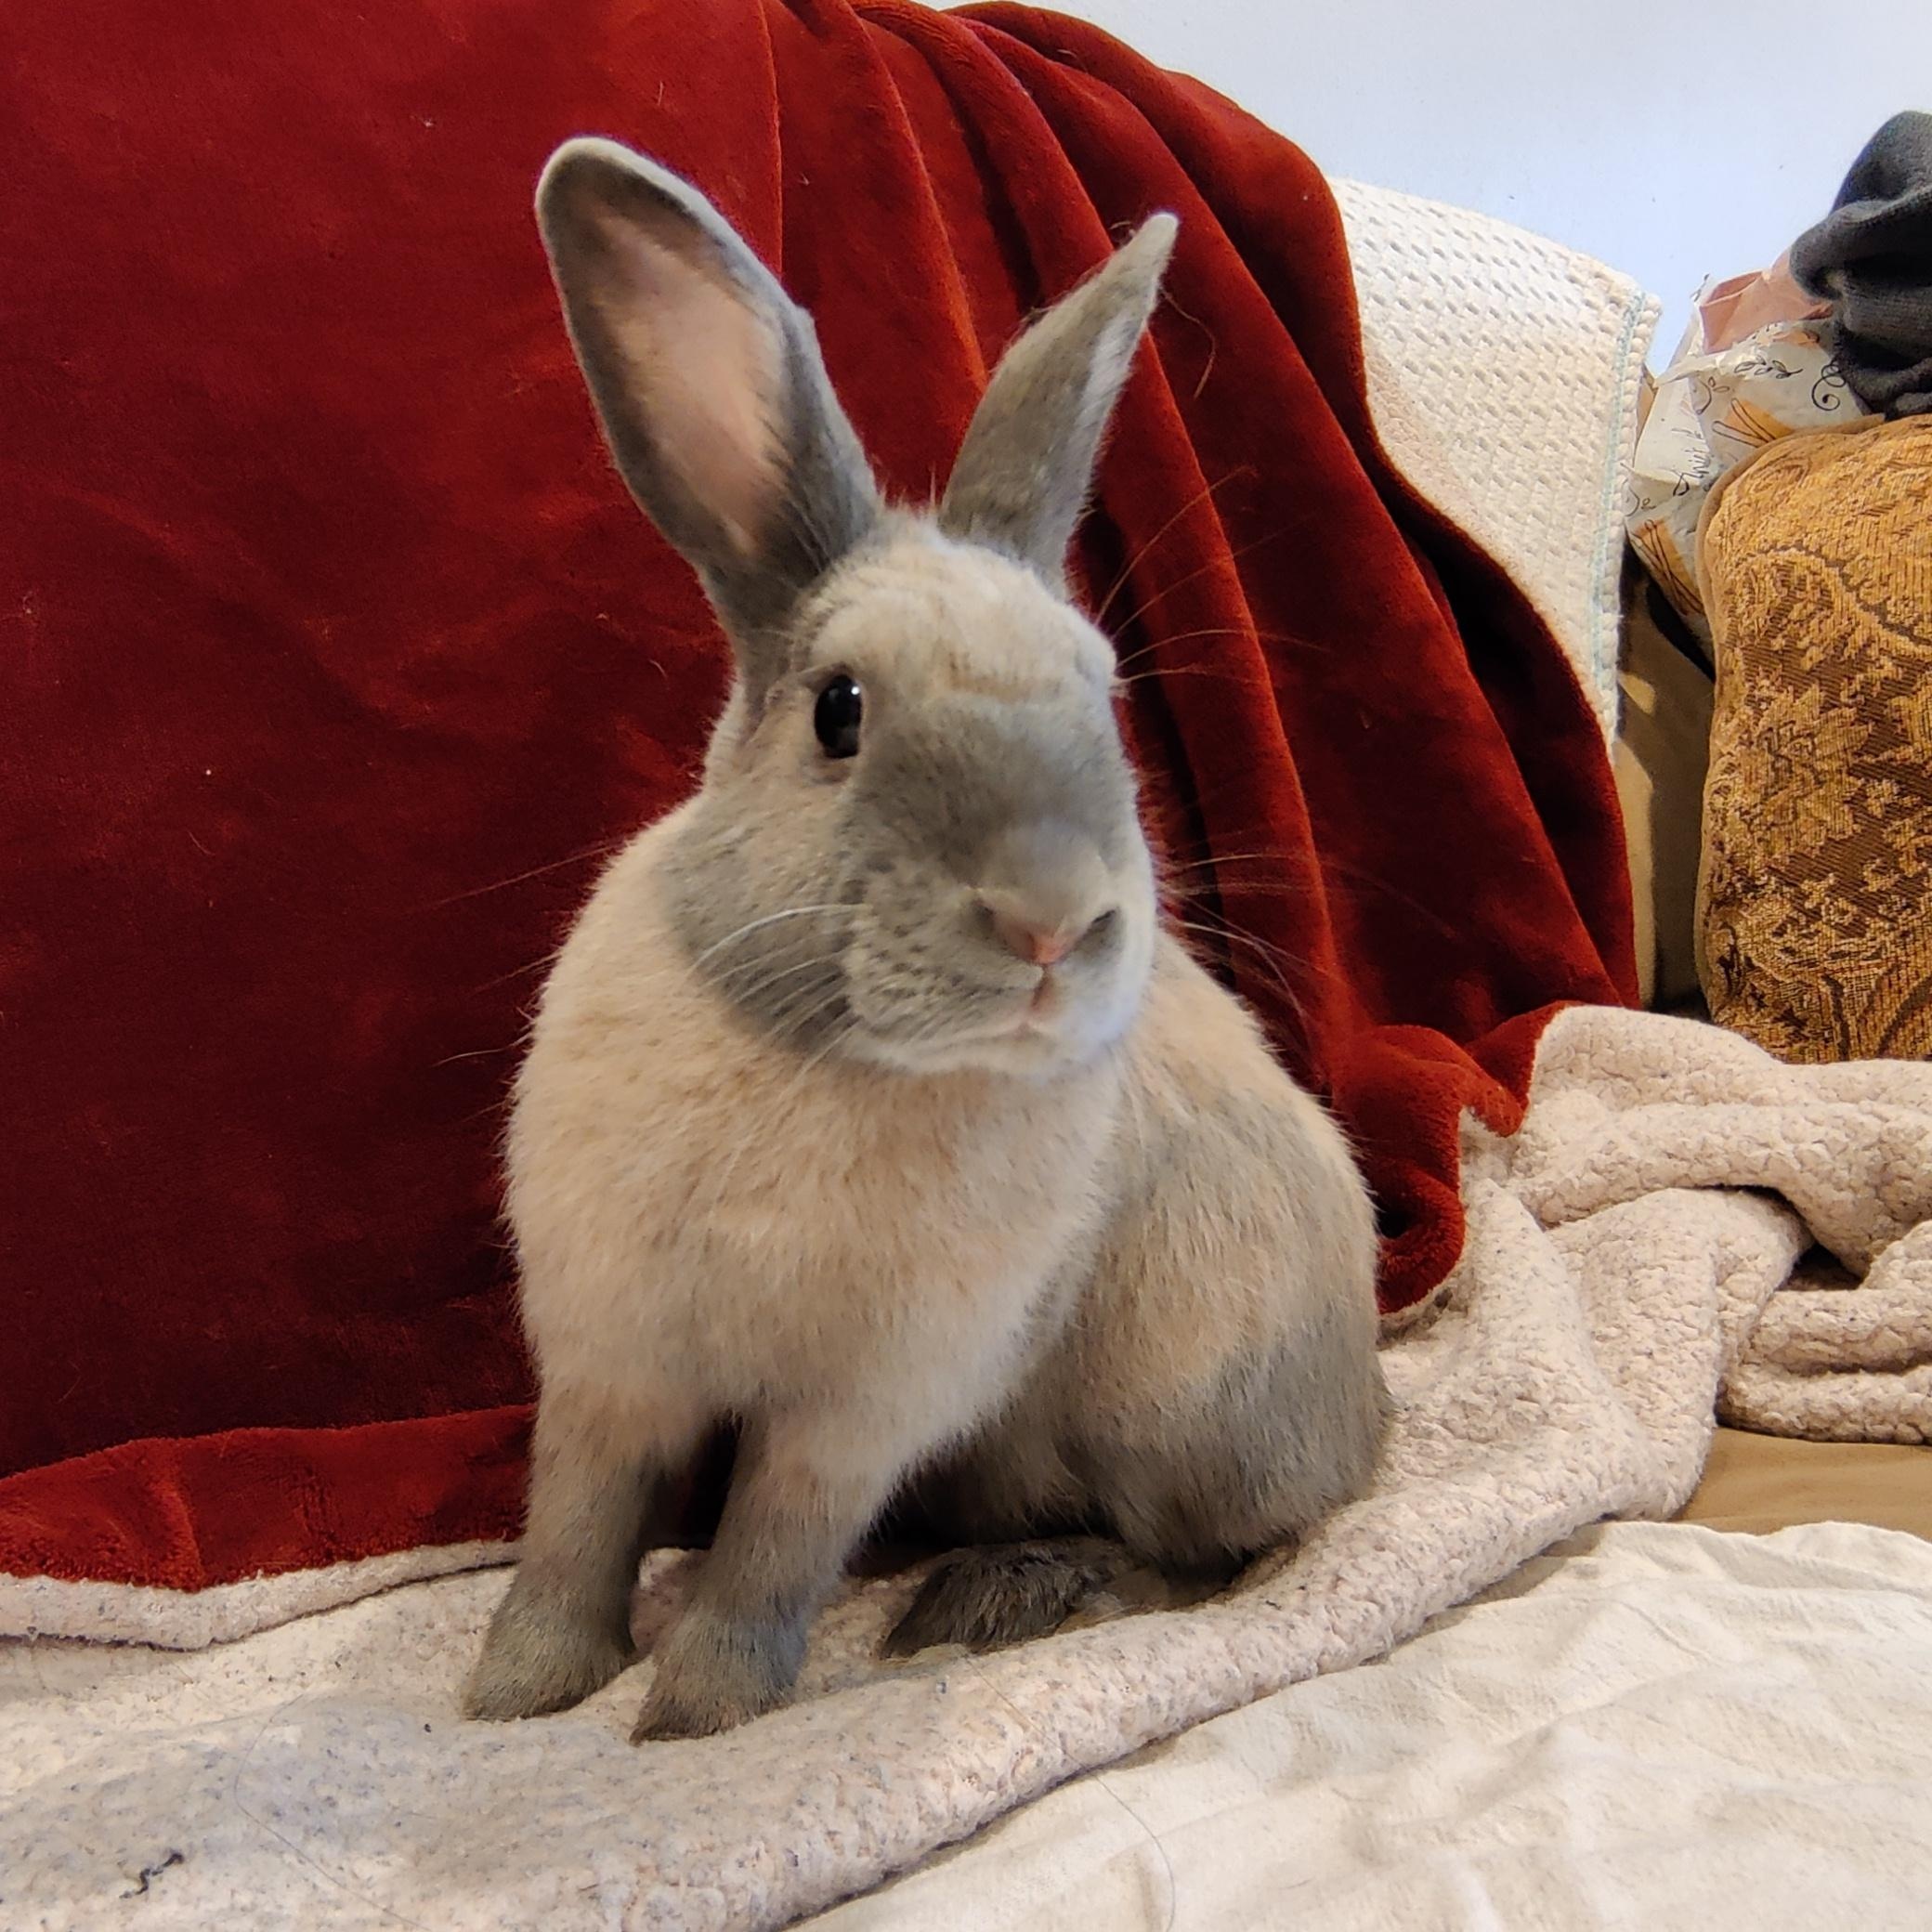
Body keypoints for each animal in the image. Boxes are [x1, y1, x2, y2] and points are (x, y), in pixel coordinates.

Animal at [462, 137, 1388, 1744]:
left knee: (1213, 1557)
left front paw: (698, 1713)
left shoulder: (859, 1409)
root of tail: (1375, 1422)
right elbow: (577, 1522)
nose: (1052, 919)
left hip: (1179, 1397)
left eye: (1105, 697)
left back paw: (998, 1598)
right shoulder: (609, 1360)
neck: (824, 1052)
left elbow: (773, 1546)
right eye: (840, 711)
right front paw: (516, 1697)